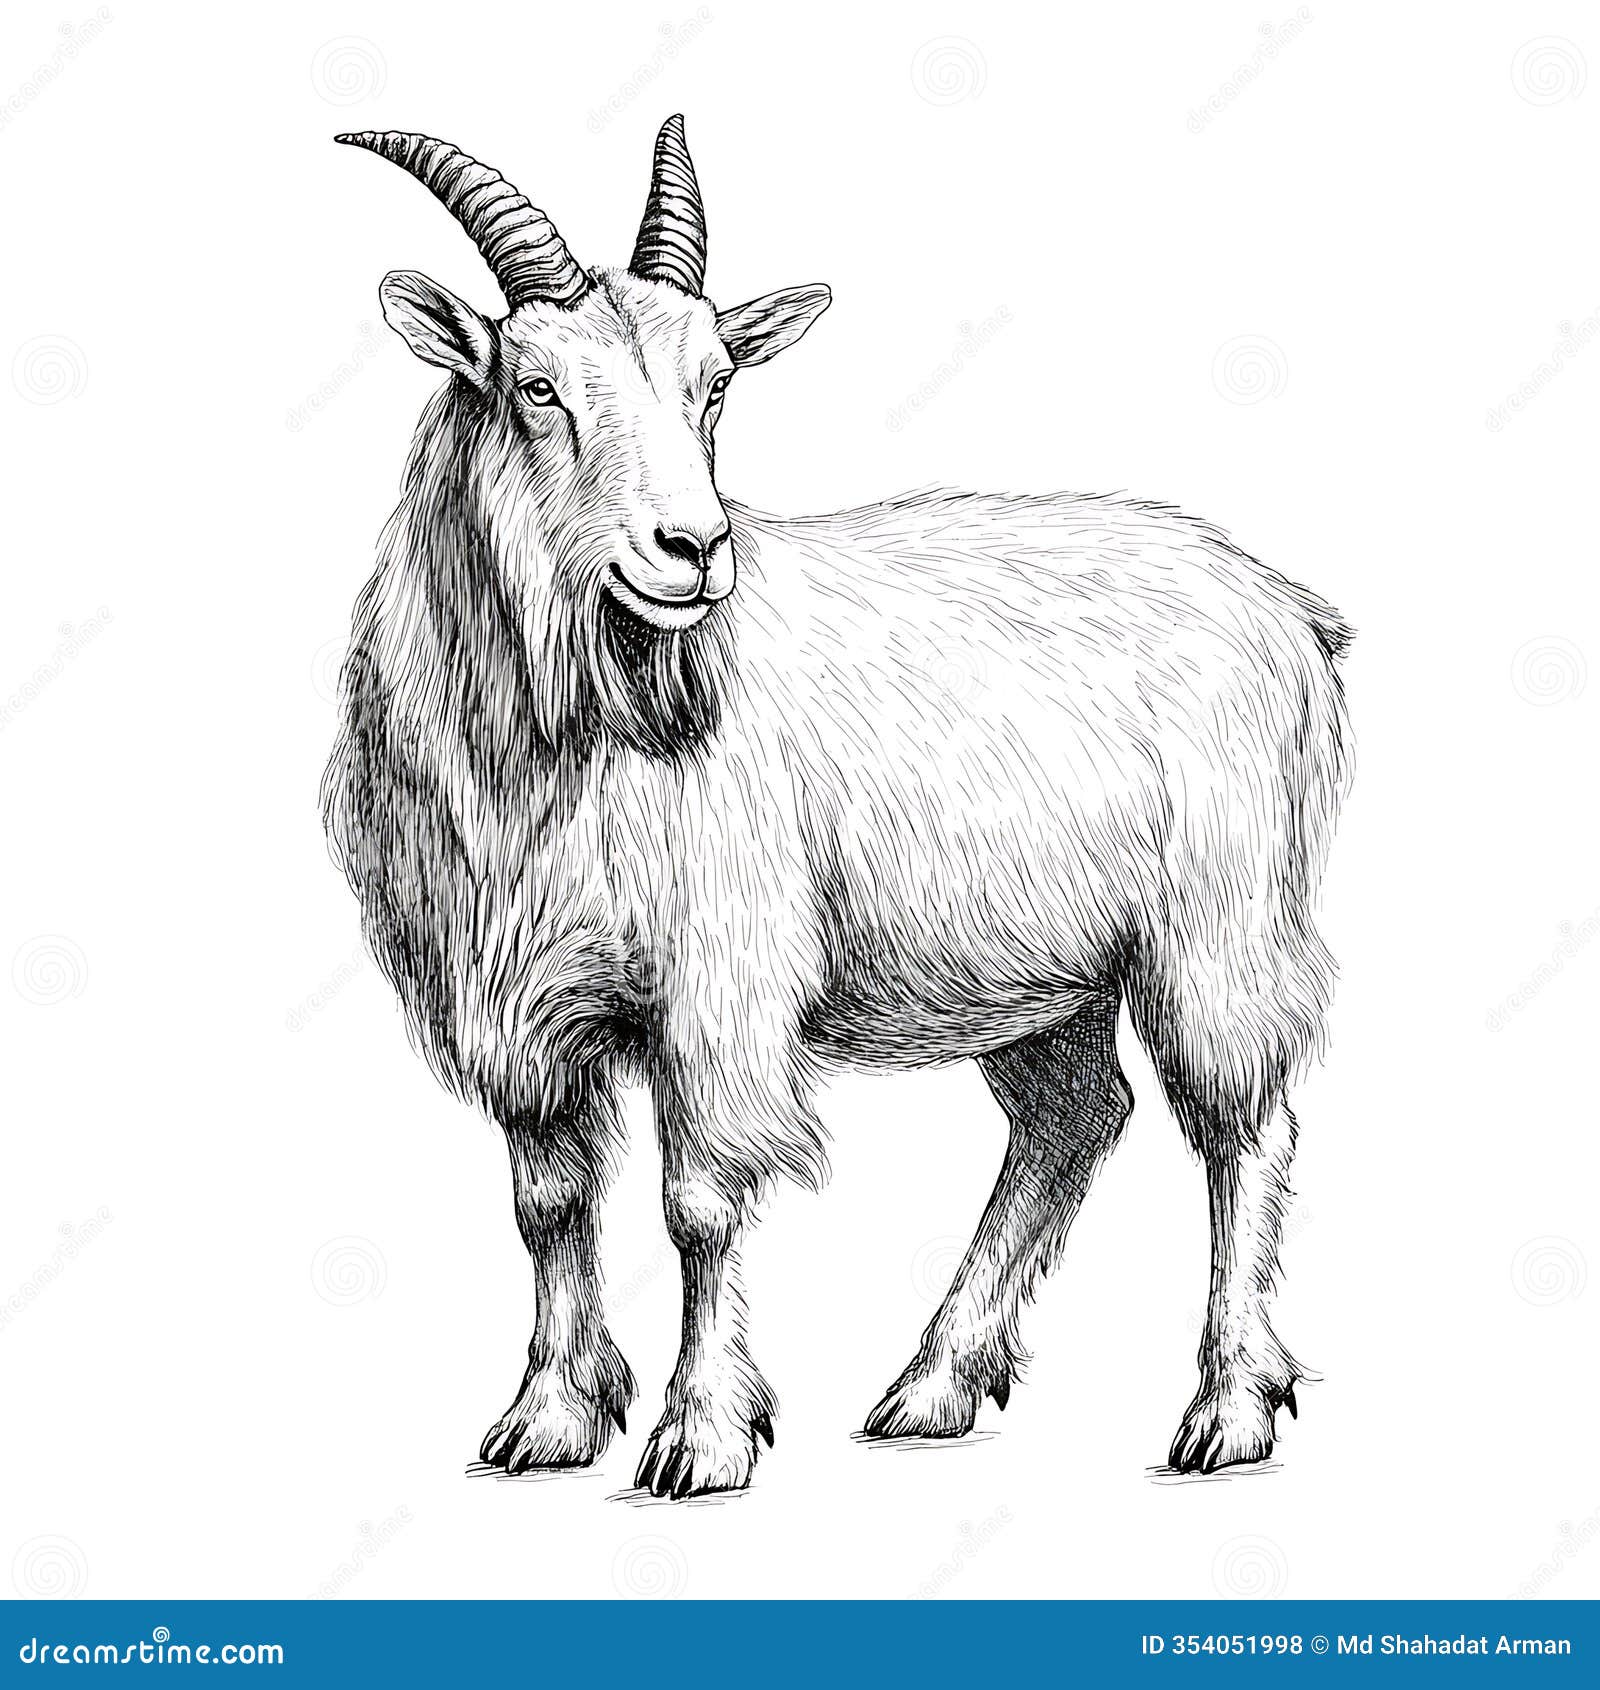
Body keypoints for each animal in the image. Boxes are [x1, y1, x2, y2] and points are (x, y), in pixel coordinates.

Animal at [323, 119, 1352, 1498]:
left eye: (715, 383)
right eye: (535, 386)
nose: (691, 549)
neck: (565, 743)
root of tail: (1287, 607)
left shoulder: (719, 985)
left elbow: (700, 1200)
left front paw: (701, 1434)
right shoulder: (520, 1009)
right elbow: (548, 1201)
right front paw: (547, 1416)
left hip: (1216, 924)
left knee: (1245, 1124)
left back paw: (1227, 1409)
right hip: (1048, 971)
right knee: (1075, 1118)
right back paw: (935, 1385)